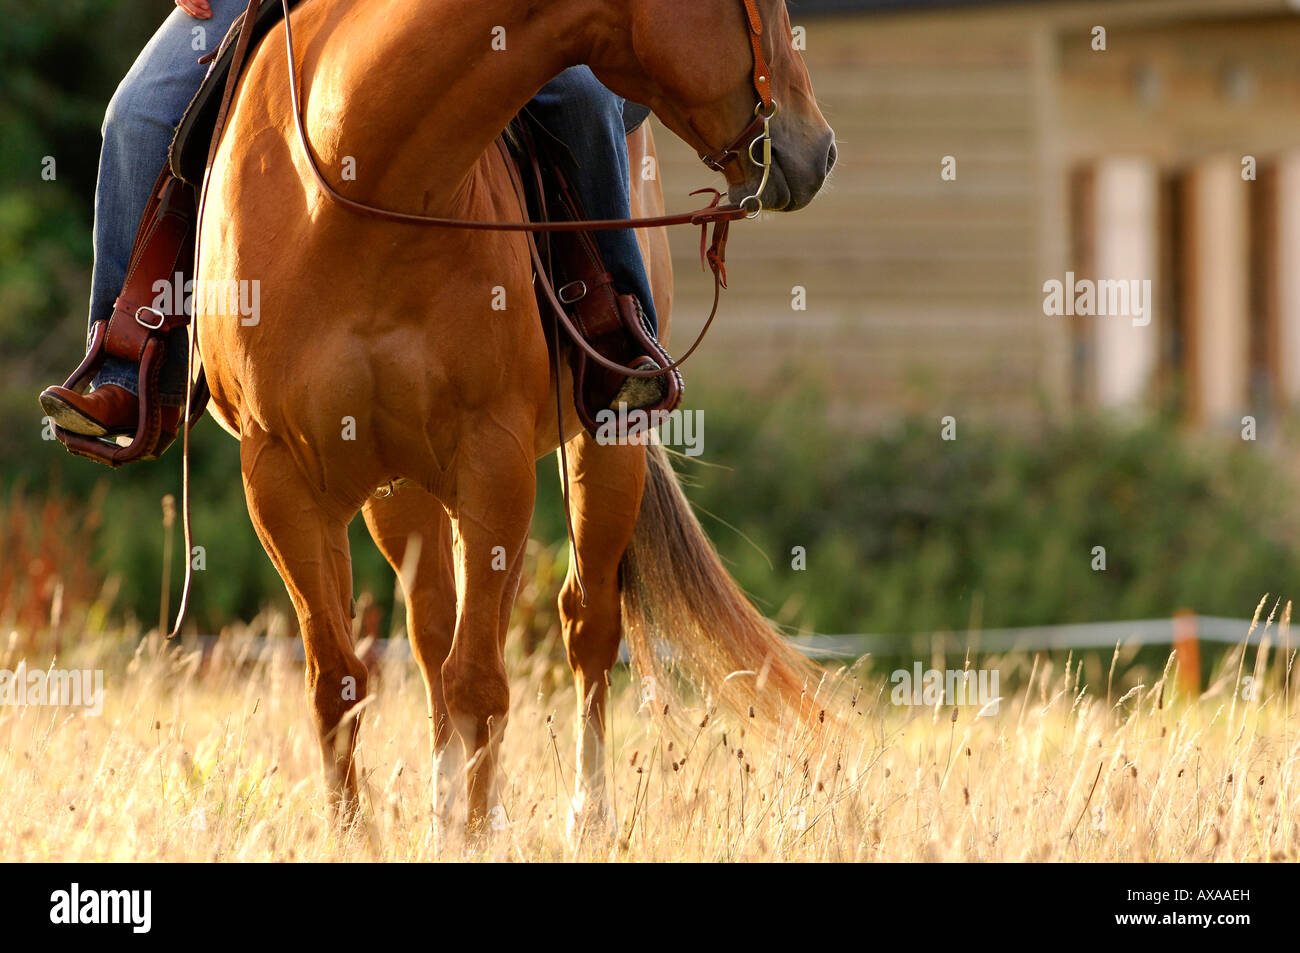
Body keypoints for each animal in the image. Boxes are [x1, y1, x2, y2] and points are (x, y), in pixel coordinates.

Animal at [196, 0, 836, 835]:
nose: (819, 149)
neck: (351, 182)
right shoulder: (280, 478)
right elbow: (338, 681)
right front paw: (360, 836)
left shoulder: (492, 463)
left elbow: (481, 683)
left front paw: (472, 836)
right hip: (399, 488)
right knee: (433, 635)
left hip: (604, 447)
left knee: (586, 625)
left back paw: (586, 819)